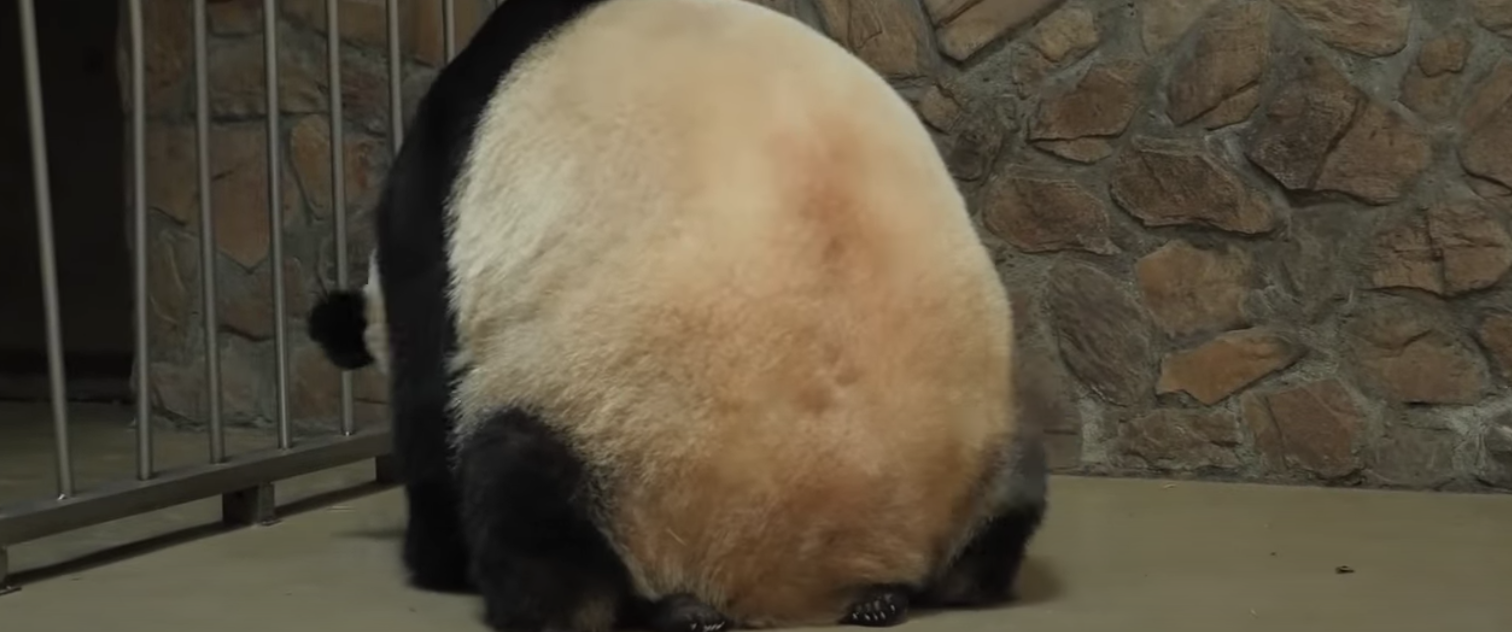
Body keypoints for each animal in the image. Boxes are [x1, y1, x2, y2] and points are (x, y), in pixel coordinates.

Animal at [305, 1, 1048, 631]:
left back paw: (651, 607)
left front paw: (432, 559)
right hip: (984, 421)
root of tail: (817, 579)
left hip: (605, 420)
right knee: (1008, 509)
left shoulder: (435, 223)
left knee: (524, 492)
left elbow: (430, 405)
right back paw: (925, 584)